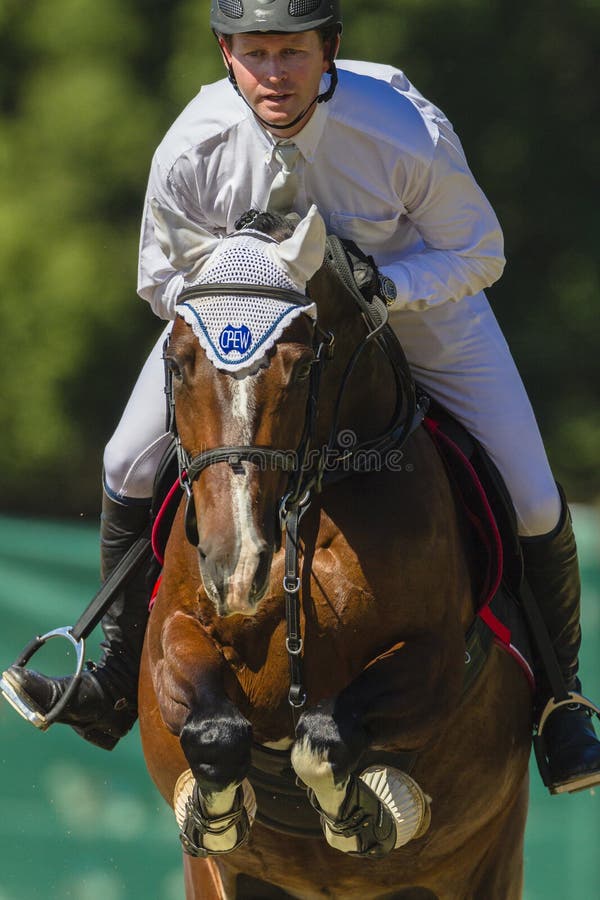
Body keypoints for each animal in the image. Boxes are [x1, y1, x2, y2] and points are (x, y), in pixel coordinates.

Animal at [138, 204, 532, 899]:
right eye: (179, 362)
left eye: (299, 368)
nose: (236, 566)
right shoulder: (175, 633)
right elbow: (215, 732)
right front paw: (217, 815)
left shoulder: (435, 660)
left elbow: (320, 739)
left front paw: (364, 813)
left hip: (489, 859)